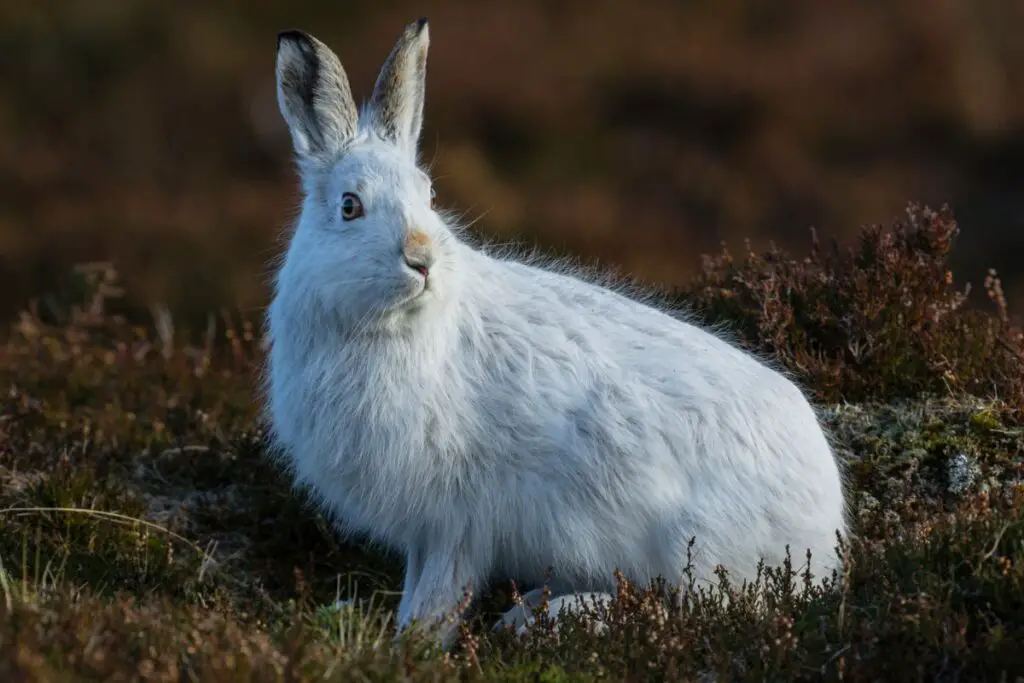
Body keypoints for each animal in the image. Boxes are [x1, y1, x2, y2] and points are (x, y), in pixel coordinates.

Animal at [263, 17, 850, 650]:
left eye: (429, 196)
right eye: (349, 207)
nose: (422, 260)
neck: (399, 326)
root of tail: (828, 533)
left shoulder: (457, 520)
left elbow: (440, 595)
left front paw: (411, 650)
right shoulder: (426, 528)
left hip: (696, 550)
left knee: (687, 613)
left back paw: (547, 616)